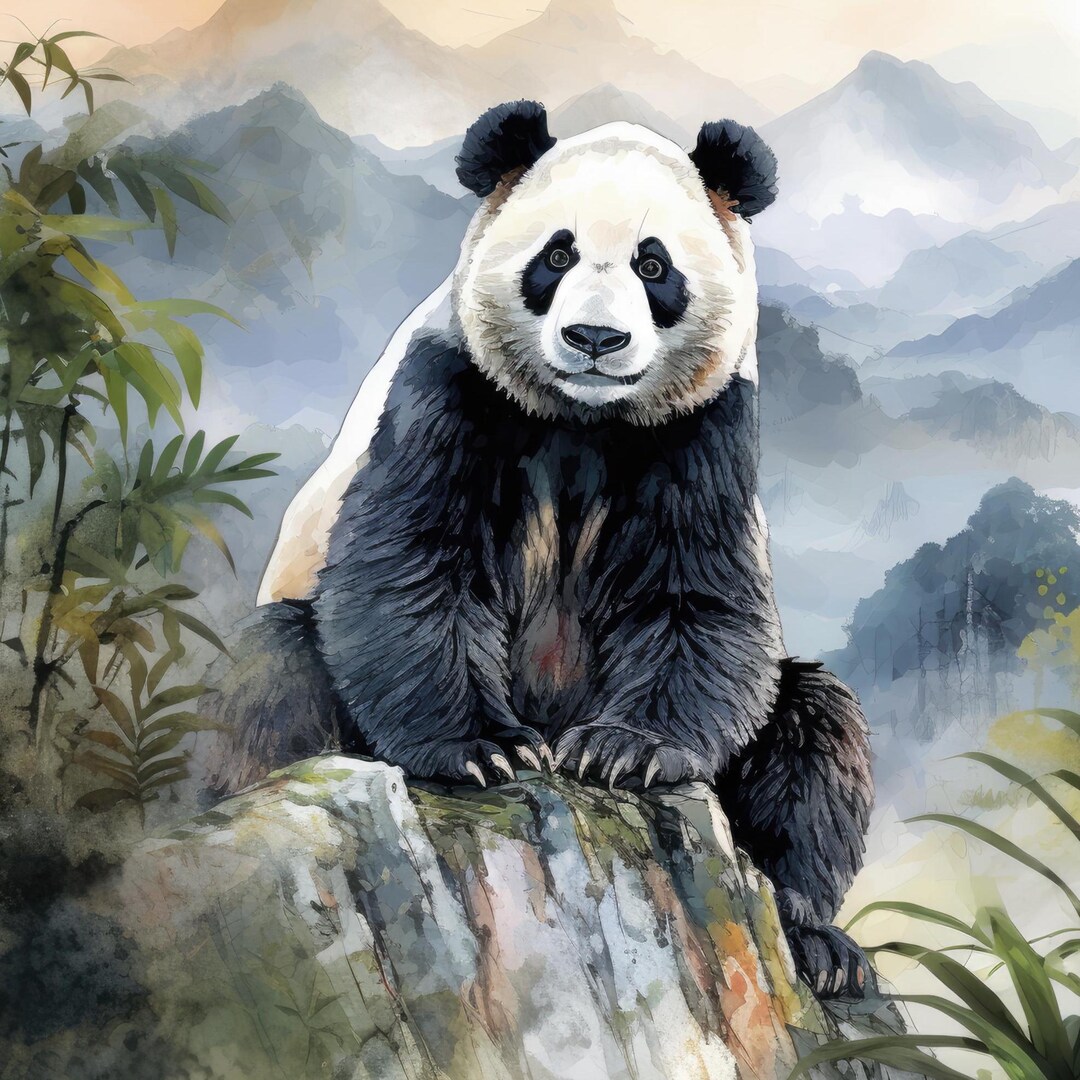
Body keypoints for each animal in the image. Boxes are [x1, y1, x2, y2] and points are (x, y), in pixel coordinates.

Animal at [207, 101, 875, 1002]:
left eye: (654, 265)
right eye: (556, 256)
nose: (595, 336)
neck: (582, 418)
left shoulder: (704, 429)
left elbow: (696, 596)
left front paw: (624, 752)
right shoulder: (447, 390)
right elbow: (415, 559)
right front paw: (484, 751)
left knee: (815, 727)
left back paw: (818, 941)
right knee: (269, 669)